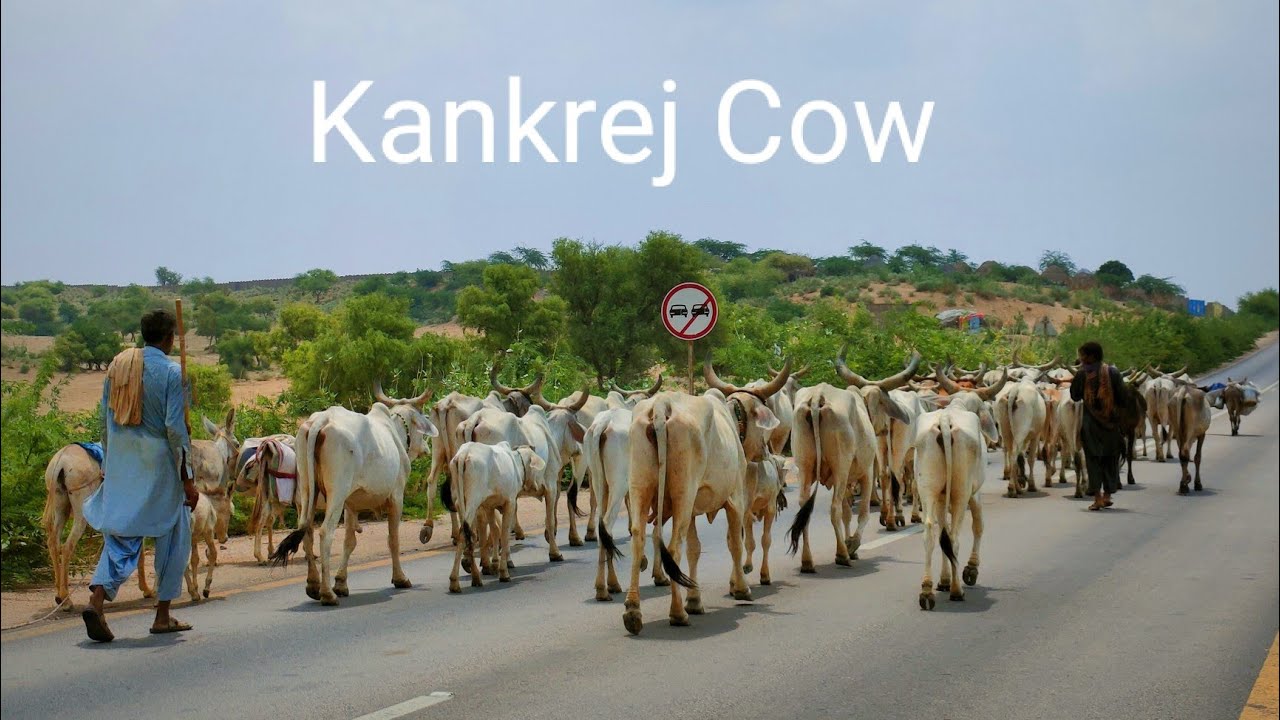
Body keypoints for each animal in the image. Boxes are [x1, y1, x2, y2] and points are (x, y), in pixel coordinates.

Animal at [42, 444, 155, 608]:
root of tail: (61, 460)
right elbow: (139, 554)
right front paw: (147, 590)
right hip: (81, 513)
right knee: (67, 546)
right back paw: (66, 600)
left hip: (61, 506)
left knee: (53, 543)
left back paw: (59, 596)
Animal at [270, 384, 437, 606]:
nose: (427, 448)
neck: (395, 432)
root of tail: (322, 419)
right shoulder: (396, 496)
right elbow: (393, 540)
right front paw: (400, 578)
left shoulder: (350, 504)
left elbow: (349, 542)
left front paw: (341, 583)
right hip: (337, 493)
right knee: (325, 533)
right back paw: (327, 594)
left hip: (307, 492)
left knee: (306, 531)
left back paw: (313, 586)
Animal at [446, 441, 547, 593]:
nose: (541, 486)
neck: (516, 464)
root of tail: (464, 453)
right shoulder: (510, 503)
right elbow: (504, 534)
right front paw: (503, 572)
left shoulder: (489, 506)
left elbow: (494, 531)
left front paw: (494, 564)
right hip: (473, 501)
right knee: (466, 533)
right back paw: (459, 580)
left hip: (460, 503)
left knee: (466, 534)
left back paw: (469, 579)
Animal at [620, 361, 790, 635]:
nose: (766, 452)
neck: (733, 420)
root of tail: (661, 406)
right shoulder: (735, 499)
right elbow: (735, 543)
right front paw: (741, 588)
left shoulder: (691, 510)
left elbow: (695, 550)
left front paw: (694, 599)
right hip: (683, 492)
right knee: (673, 547)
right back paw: (677, 613)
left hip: (641, 488)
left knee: (639, 538)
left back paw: (633, 611)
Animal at [914, 402, 1000, 610]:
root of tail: (946, 419)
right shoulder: (974, 494)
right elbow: (978, 526)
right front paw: (970, 569)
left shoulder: (940, 498)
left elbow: (941, 534)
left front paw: (943, 580)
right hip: (962, 491)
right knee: (954, 537)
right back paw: (956, 590)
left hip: (927, 488)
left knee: (931, 532)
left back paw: (927, 590)